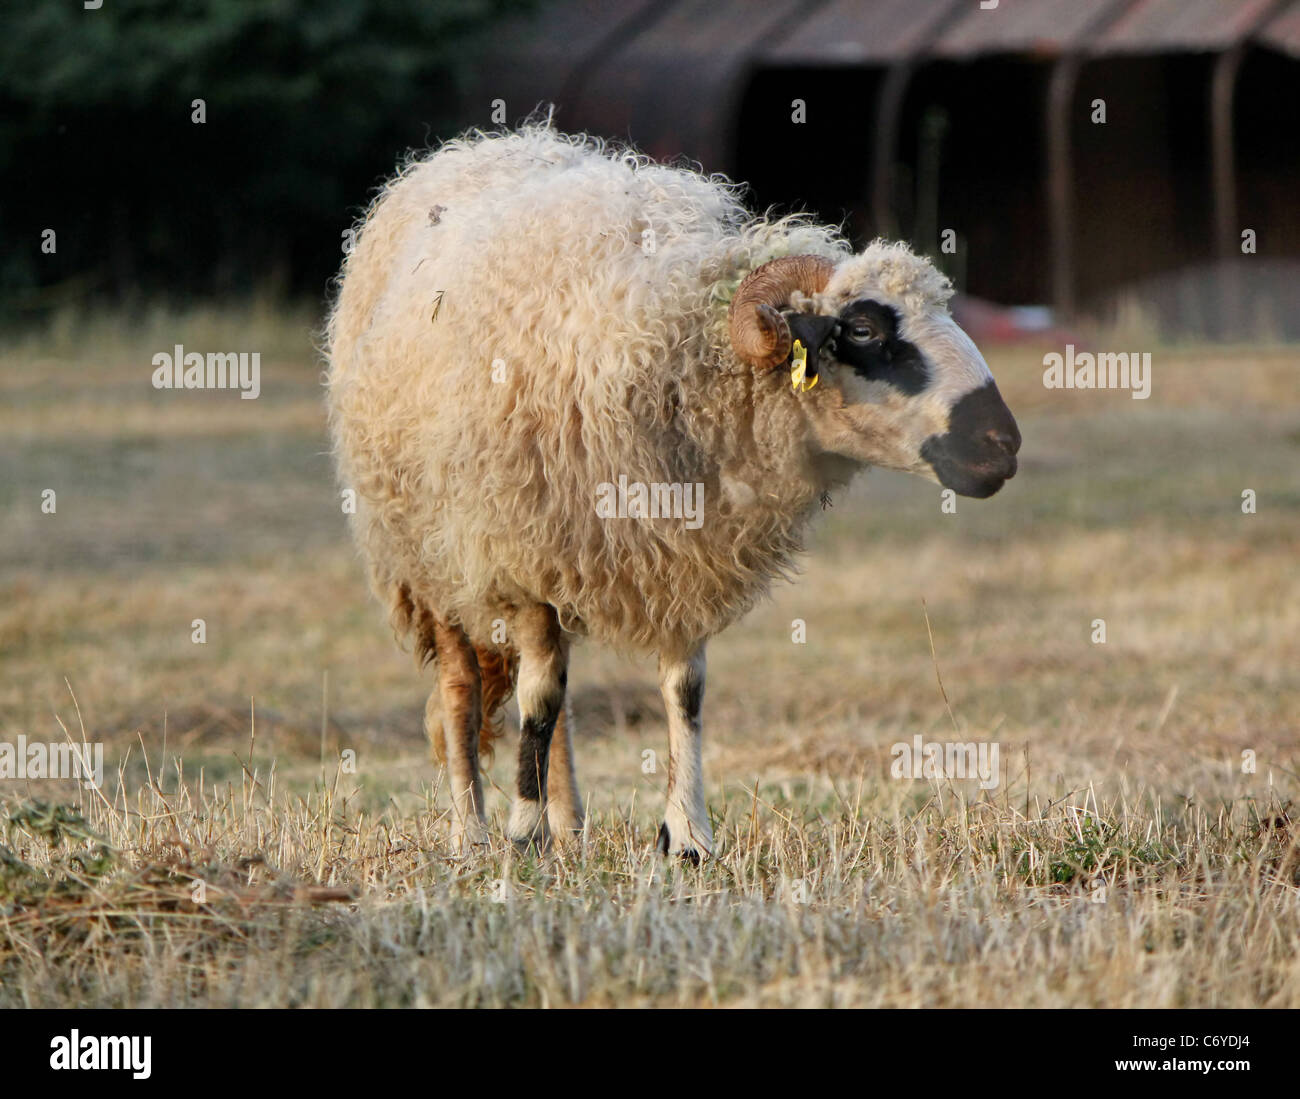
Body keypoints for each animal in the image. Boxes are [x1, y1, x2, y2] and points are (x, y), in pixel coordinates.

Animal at [325, 125, 1020, 861]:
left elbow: (681, 692)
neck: (676, 346)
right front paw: (523, 831)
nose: (1004, 443)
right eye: (862, 330)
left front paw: (687, 835)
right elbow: (536, 700)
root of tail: (479, 145)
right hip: (429, 560)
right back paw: (475, 831)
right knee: (465, 690)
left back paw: (570, 825)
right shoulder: (524, 557)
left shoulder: (685, 553)